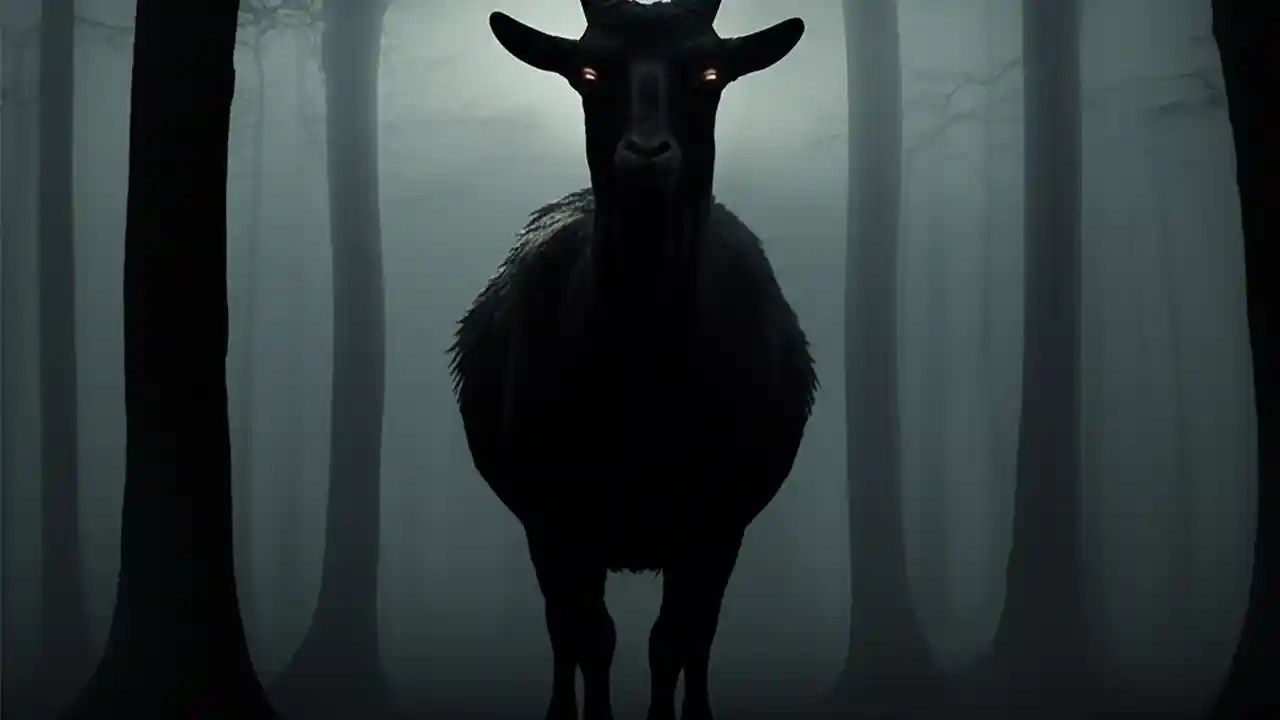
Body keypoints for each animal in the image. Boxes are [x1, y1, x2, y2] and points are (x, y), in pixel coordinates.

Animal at [449, 2, 815, 719]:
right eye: (589, 71)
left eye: (710, 72)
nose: (646, 152)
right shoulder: (555, 513)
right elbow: (592, 636)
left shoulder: (718, 515)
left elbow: (676, 638)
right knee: (563, 630)